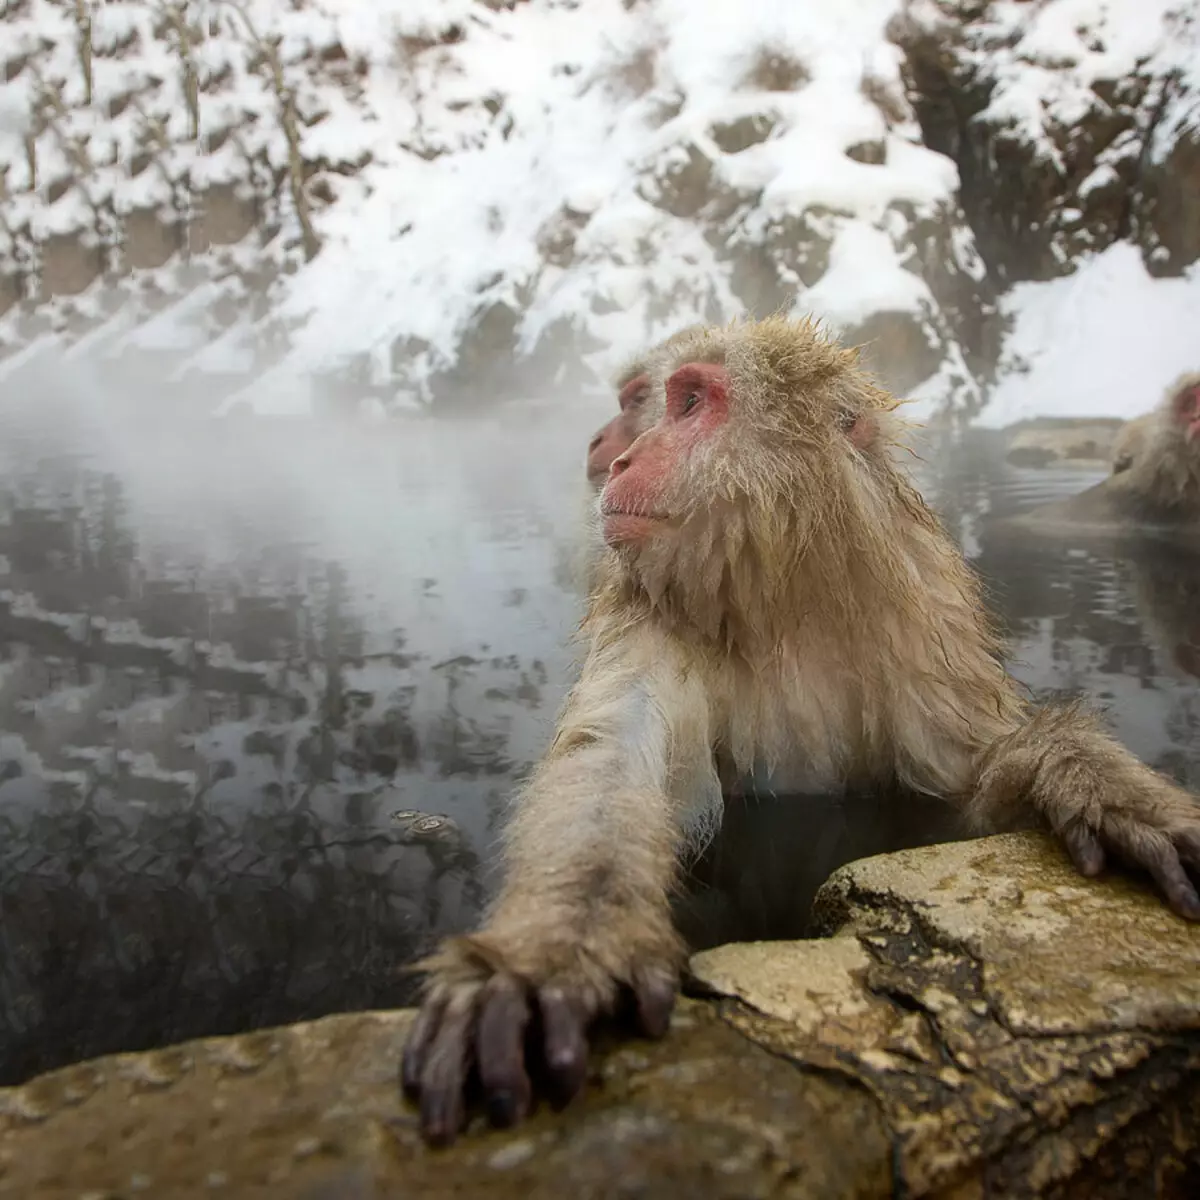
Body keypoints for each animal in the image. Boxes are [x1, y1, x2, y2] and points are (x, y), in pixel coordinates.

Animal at [400, 316, 1200, 1142]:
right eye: (668, 400)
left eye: (690, 403)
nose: (617, 454)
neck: (775, 600)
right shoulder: (648, 620)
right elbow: (609, 767)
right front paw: (555, 953)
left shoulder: (920, 626)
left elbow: (969, 782)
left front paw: (1107, 791)